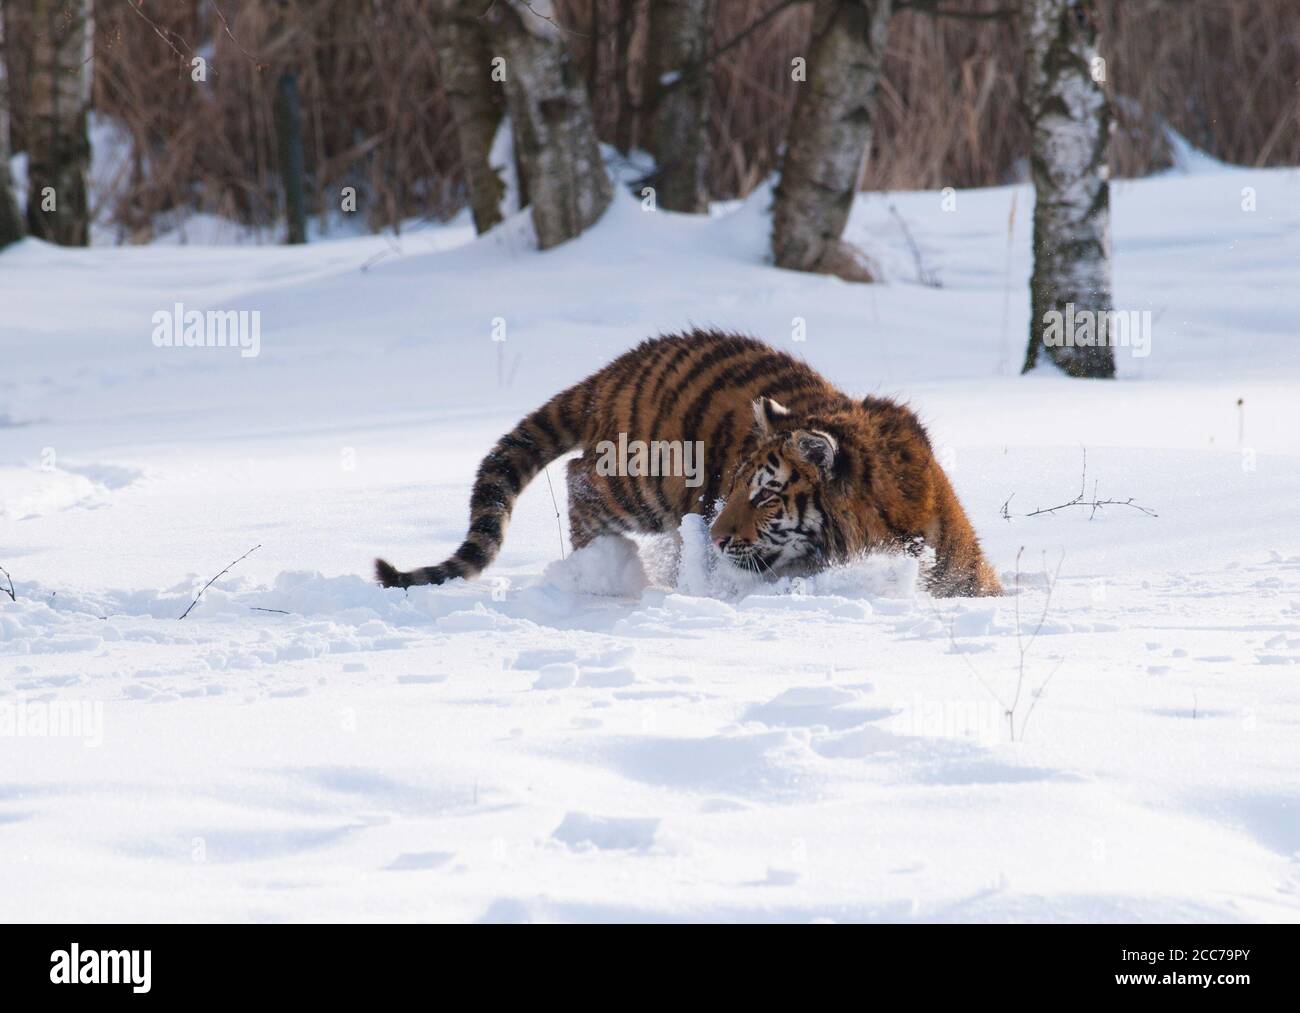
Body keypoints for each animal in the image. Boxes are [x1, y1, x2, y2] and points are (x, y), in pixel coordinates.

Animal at [375, 330, 1002, 597]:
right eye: (738, 487)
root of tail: (619, 366)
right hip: (640, 480)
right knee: (578, 479)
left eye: (765, 495)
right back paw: (604, 568)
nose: (717, 537)